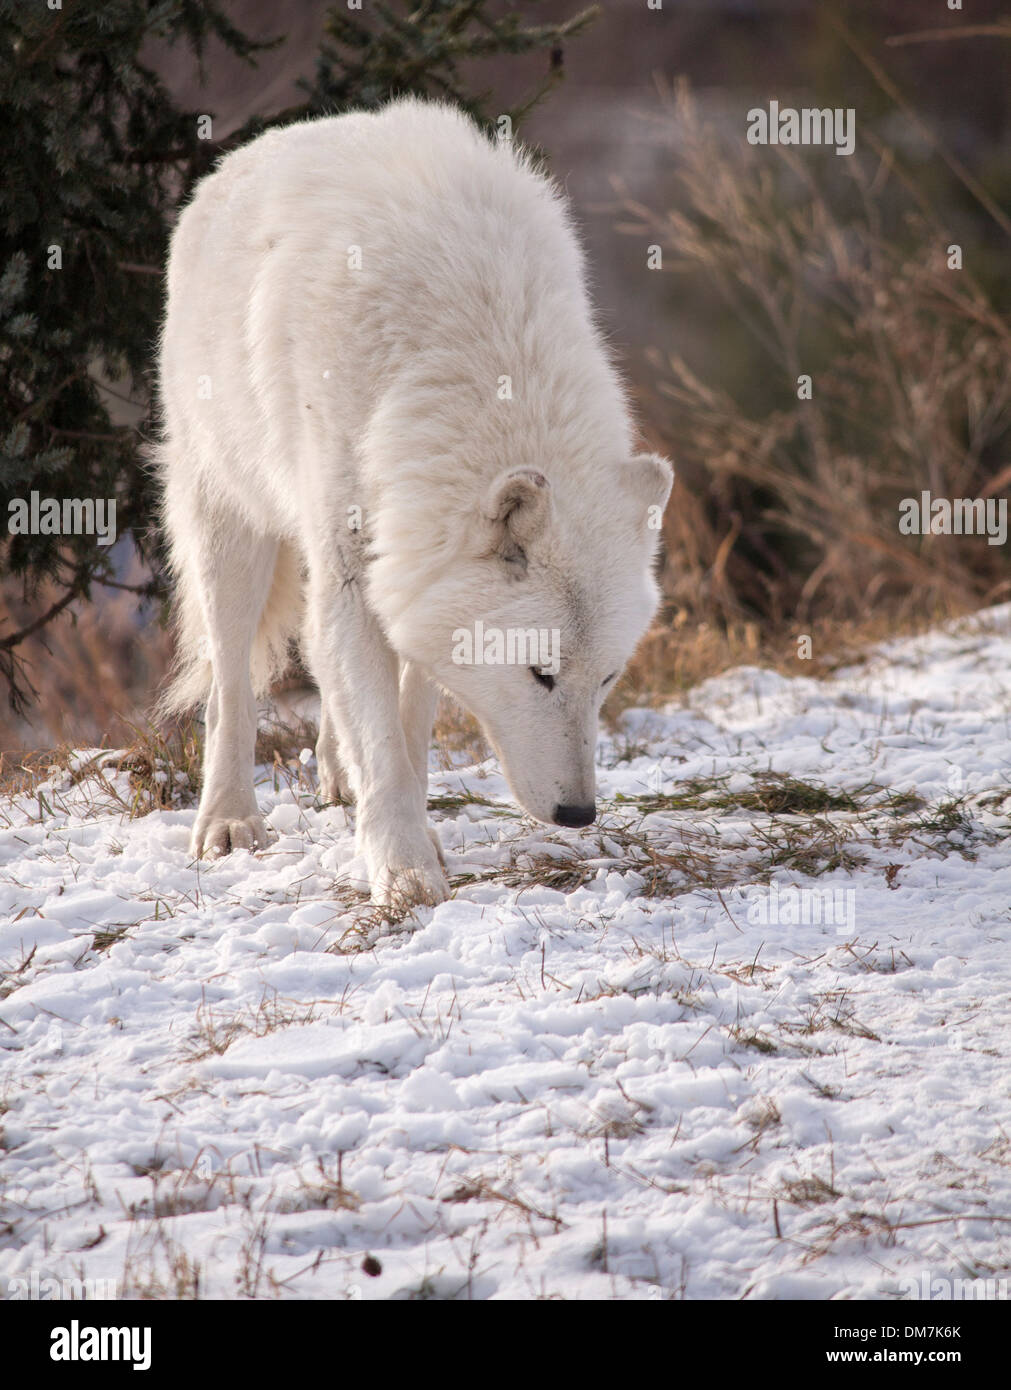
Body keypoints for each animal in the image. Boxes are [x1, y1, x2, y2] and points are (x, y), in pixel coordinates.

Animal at [156, 98, 672, 908]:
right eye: (539, 674)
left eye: (609, 678)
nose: (578, 814)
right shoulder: (354, 565)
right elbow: (377, 737)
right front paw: (401, 869)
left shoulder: (417, 572)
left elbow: (404, 722)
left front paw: (409, 832)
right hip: (229, 525)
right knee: (230, 687)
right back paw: (229, 820)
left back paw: (335, 777)